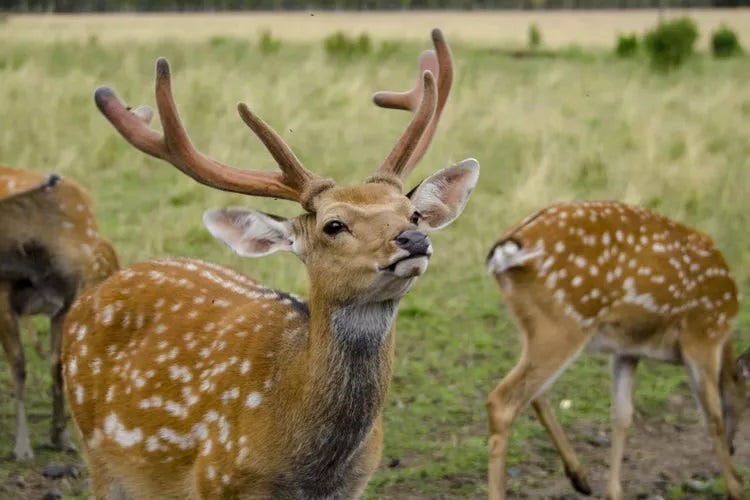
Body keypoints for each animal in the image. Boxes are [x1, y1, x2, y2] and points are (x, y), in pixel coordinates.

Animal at [0, 166, 119, 461]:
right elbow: (19, 366)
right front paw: (22, 447)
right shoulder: (1, 297)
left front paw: (61, 437)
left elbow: (57, 365)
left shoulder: (65, 302)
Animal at [62, 29, 477, 498]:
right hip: (99, 453)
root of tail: (94, 293)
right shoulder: (216, 479)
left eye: (413, 214)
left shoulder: (356, 484)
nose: (413, 239)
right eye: (334, 224)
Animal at [485, 200, 748, 499]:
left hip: (534, 325)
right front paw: (736, 489)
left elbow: (622, 416)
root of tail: (509, 247)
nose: (733, 447)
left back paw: (580, 477)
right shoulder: (703, 335)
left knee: (535, 394)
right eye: (747, 399)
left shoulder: (627, 350)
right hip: (564, 323)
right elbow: (712, 416)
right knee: (503, 400)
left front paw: (613, 492)